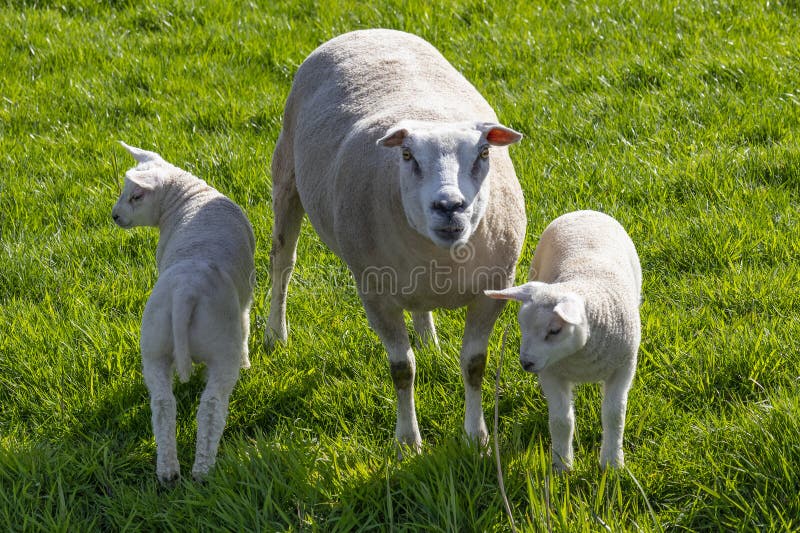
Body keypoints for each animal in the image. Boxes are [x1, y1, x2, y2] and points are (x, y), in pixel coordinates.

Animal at [112, 142, 255, 482]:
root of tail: (186, 291)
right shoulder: (246, 298)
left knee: (163, 405)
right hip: (222, 347)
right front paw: (248, 363)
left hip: (154, 341)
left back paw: (168, 471)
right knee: (212, 406)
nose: (115, 216)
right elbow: (247, 323)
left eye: (136, 196)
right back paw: (202, 470)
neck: (188, 196)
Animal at [267, 29, 526, 453]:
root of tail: (368, 30)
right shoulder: (375, 296)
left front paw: (477, 437)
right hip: (286, 175)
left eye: (484, 152)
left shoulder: (493, 291)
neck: (442, 258)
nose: (449, 206)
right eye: (407, 156)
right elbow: (402, 369)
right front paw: (408, 442)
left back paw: (429, 342)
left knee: (420, 306)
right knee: (282, 264)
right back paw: (275, 334)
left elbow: (474, 366)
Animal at [486, 210, 641, 471]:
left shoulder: (624, 366)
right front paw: (562, 466)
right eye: (521, 325)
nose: (526, 363)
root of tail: (583, 211)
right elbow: (561, 420)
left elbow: (614, 414)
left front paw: (612, 463)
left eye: (554, 330)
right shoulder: (550, 372)